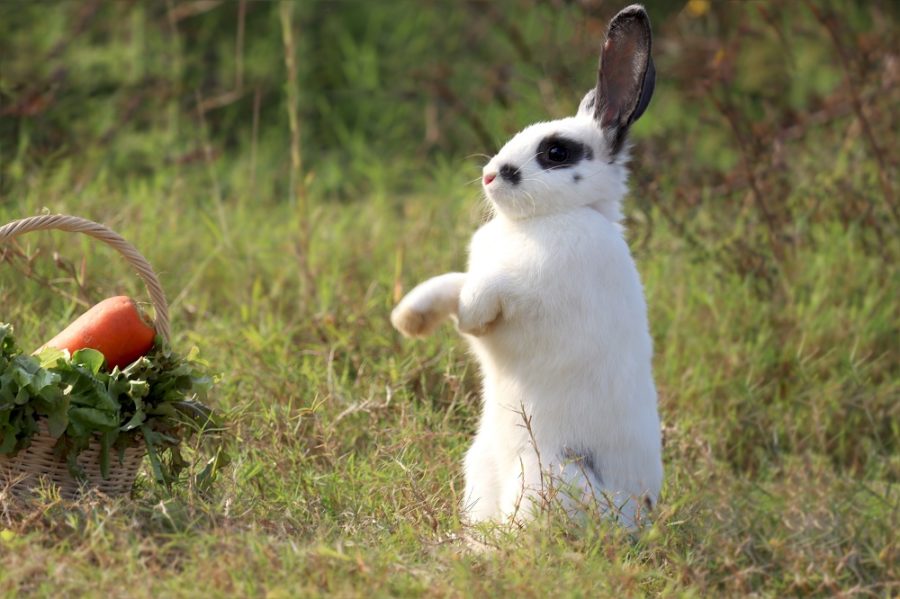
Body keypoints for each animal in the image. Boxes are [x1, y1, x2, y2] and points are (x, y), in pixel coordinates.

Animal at [391, 4, 662, 528]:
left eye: (556, 152)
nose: (488, 175)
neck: (546, 220)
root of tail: (636, 520)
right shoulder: (477, 273)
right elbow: (452, 282)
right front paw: (410, 318)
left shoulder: (533, 285)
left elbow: (488, 290)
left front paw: (471, 320)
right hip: (480, 466)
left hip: (545, 476)